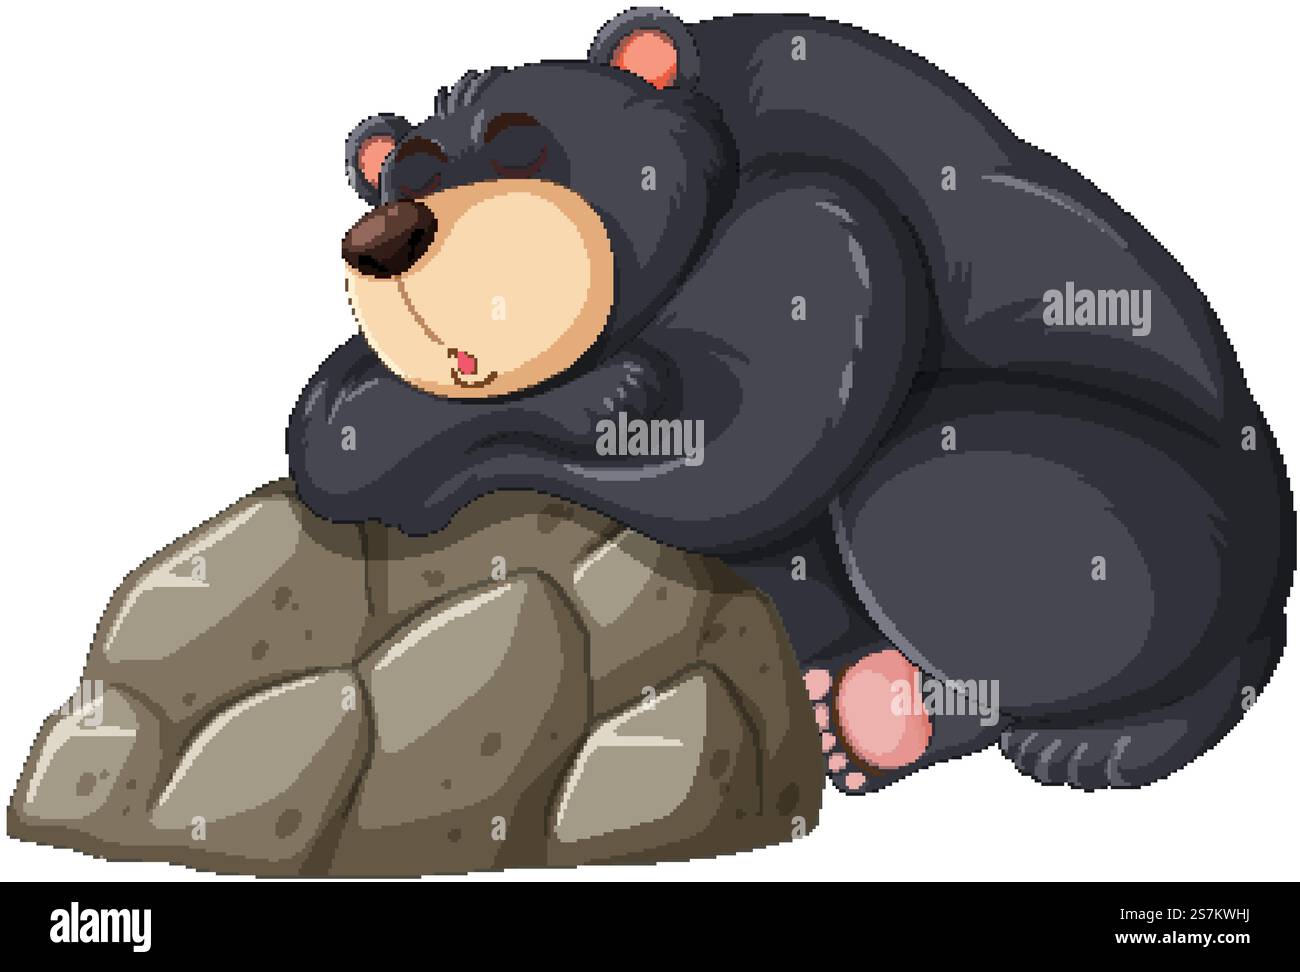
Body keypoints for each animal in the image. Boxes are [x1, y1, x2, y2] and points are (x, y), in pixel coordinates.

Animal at [287, 7, 1294, 794]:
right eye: (408, 174)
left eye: (521, 142)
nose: (386, 236)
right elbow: (331, 422)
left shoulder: (818, 222)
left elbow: (752, 448)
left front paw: (596, 399)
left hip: (1150, 529)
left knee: (922, 485)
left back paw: (942, 723)